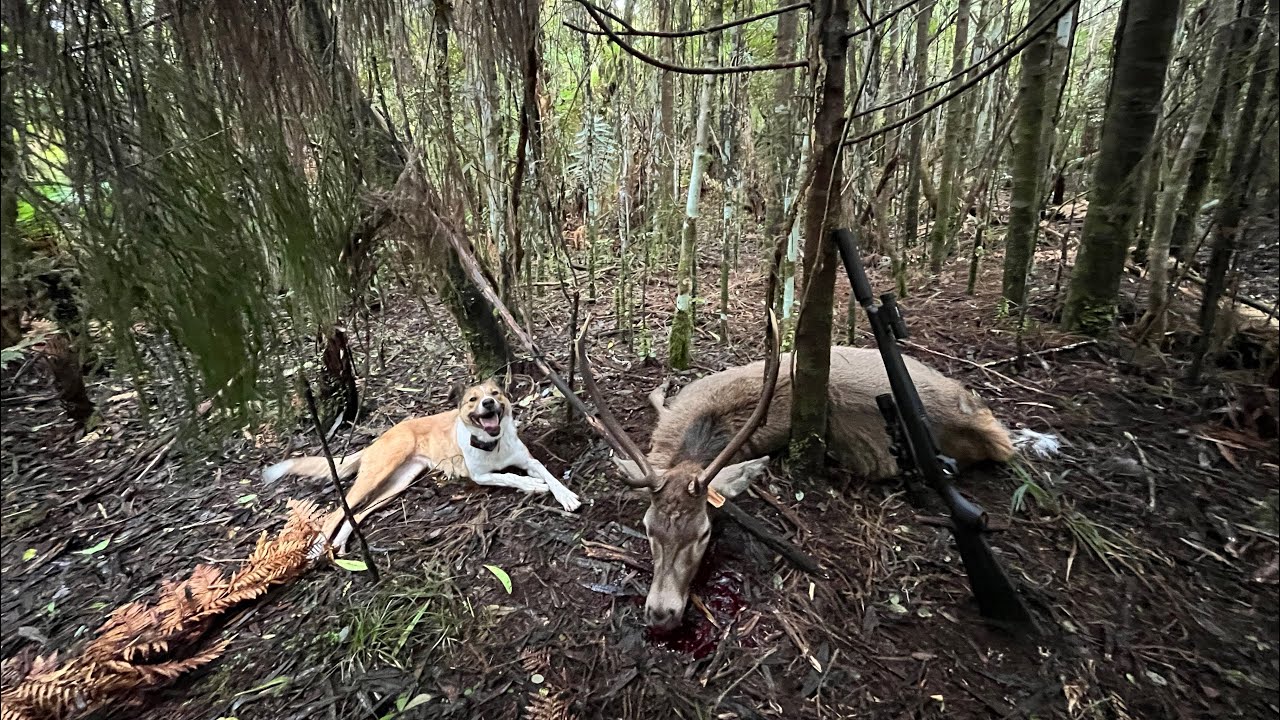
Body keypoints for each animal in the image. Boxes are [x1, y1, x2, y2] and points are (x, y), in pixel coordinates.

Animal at [576, 331, 1016, 633]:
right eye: (648, 527)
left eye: (704, 533)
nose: (662, 613)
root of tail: (986, 429)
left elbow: (656, 397)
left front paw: (662, 383)